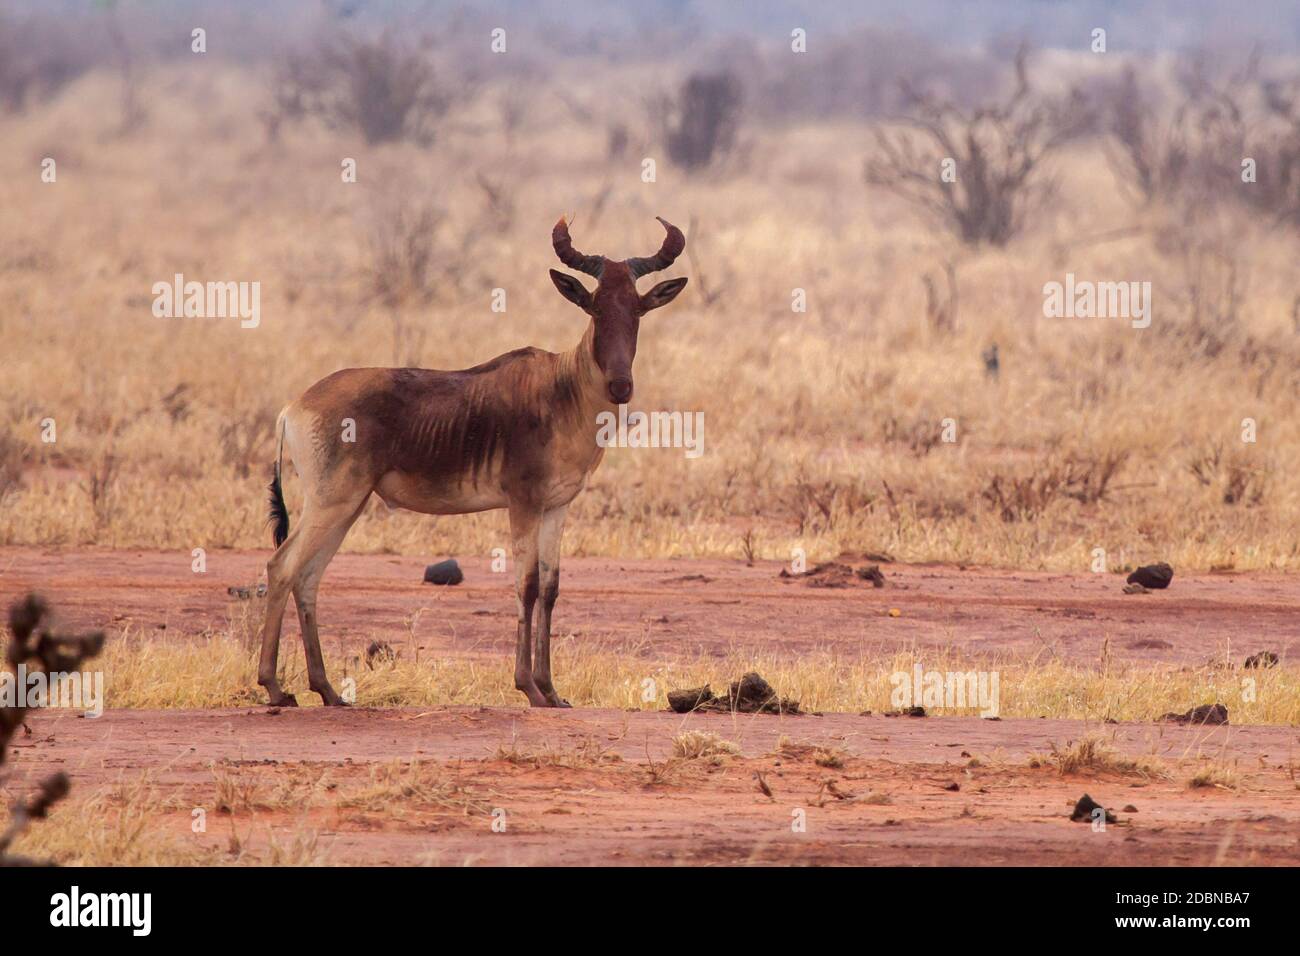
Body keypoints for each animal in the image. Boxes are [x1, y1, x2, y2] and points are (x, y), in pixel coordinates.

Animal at [257, 217, 687, 708]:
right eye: (594, 307)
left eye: (637, 308)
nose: (620, 386)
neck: (561, 388)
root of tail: (294, 407)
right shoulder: (523, 504)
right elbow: (526, 585)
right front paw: (528, 688)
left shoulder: (557, 507)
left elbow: (551, 588)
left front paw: (552, 691)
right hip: (331, 502)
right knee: (282, 568)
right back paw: (275, 688)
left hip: (347, 506)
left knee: (308, 578)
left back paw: (328, 691)